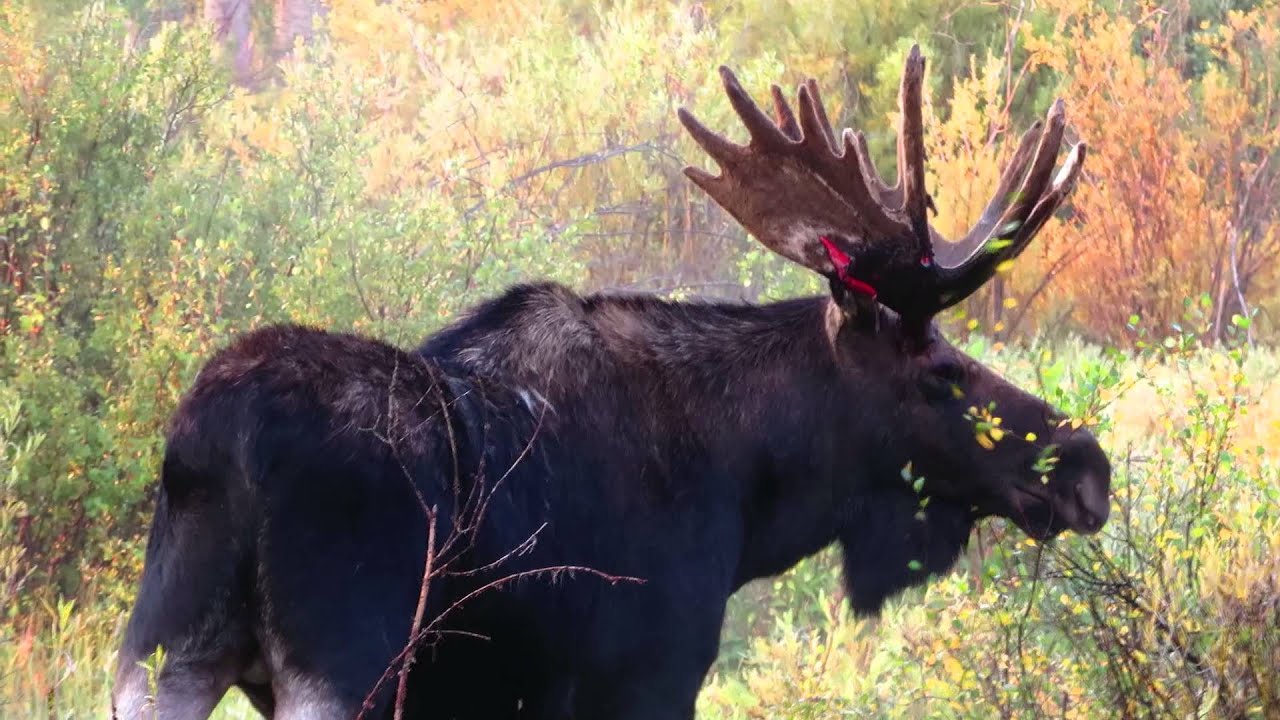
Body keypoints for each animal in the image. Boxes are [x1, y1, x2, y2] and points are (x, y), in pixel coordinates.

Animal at [112, 47, 1110, 720]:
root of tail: (219, 447)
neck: (752, 493)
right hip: (344, 667)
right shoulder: (649, 674)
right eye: (940, 370)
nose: (1088, 466)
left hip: (163, 657)